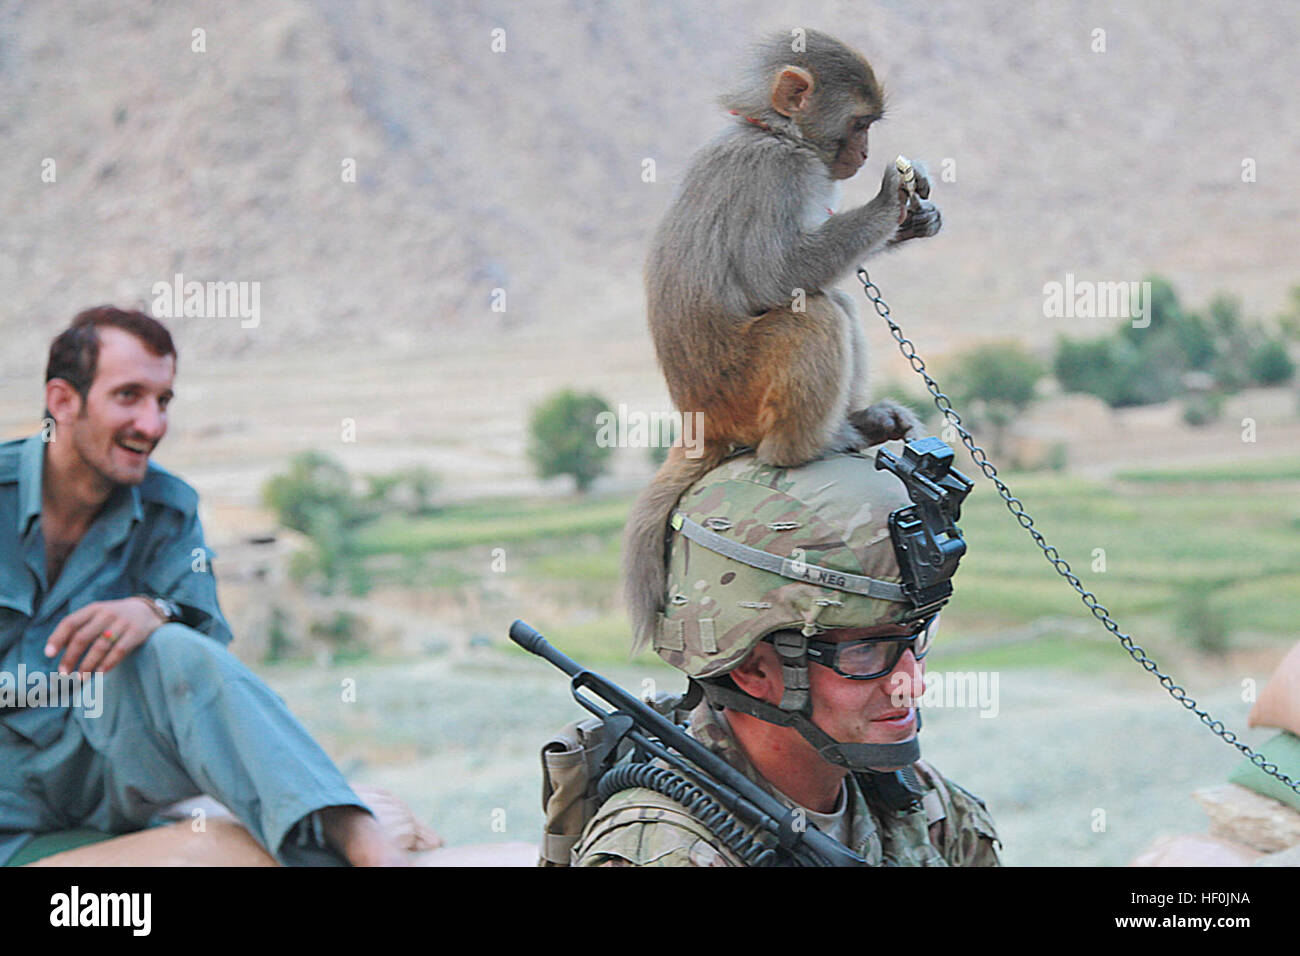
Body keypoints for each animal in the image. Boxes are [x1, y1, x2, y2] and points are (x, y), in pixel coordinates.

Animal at [625, 30, 943, 651]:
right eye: (860, 123)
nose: (865, 154)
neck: (771, 129)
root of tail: (701, 419)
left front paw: (916, 218)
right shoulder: (779, 172)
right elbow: (779, 275)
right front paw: (889, 197)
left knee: (836, 302)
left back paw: (861, 421)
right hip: (744, 392)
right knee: (813, 313)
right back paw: (806, 447)